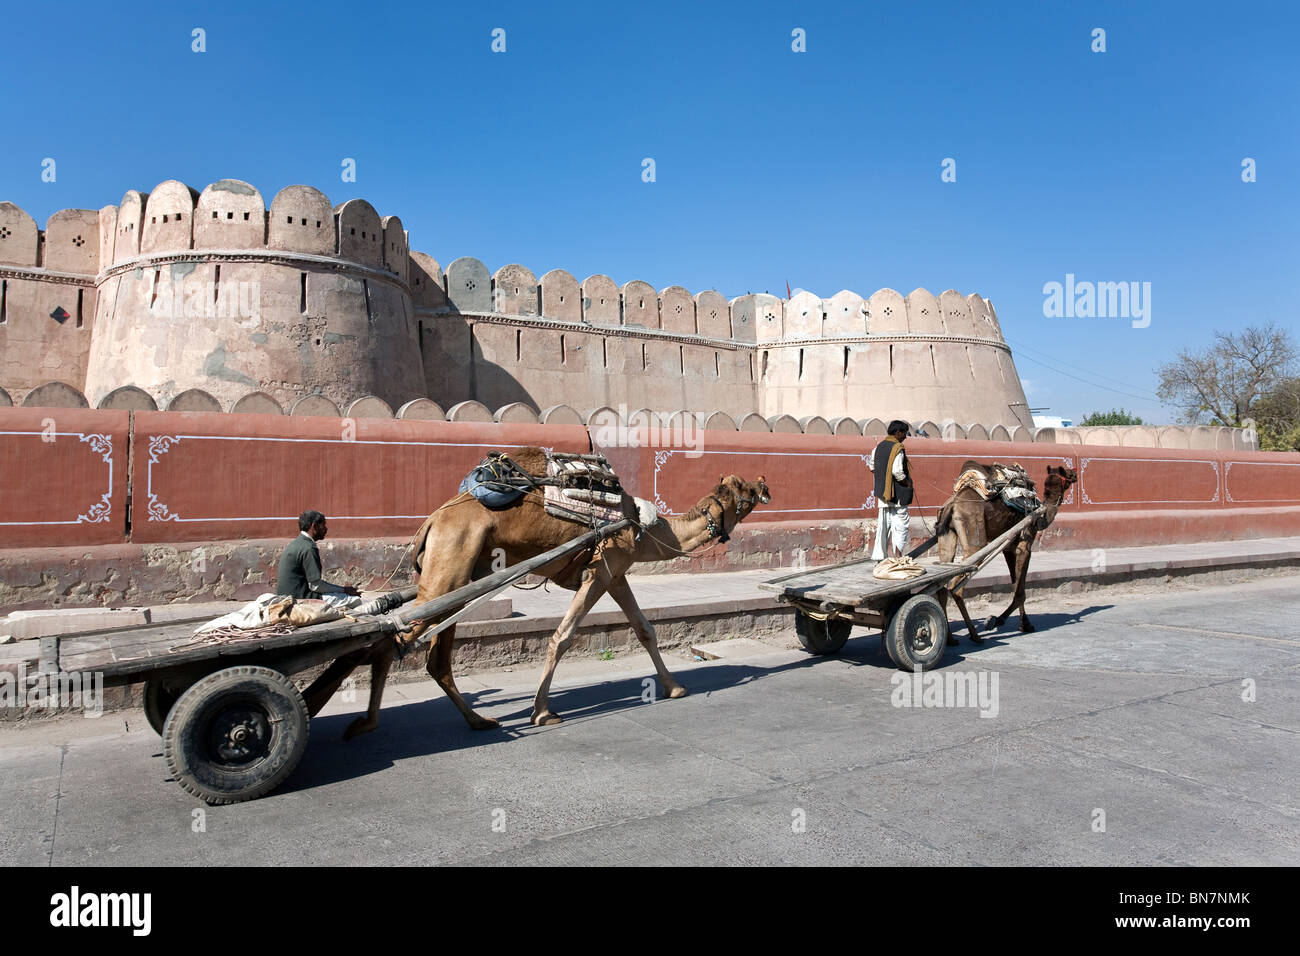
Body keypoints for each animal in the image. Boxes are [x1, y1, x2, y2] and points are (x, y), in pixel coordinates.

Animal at [301, 447, 771, 739]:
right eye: (745, 490)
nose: (766, 485)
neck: (641, 527)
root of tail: (432, 522)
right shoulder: (601, 569)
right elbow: (562, 636)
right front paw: (542, 712)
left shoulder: (616, 574)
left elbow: (644, 629)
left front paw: (673, 687)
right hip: (448, 569)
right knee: (394, 637)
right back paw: (368, 723)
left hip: (459, 575)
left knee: (429, 655)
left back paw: (476, 721)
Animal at [934, 462, 1078, 640]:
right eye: (1068, 473)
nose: (1076, 474)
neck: (1041, 514)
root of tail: (952, 505)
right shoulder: (1025, 544)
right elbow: (1021, 590)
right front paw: (997, 620)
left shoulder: (1009, 548)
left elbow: (1015, 582)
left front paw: (1025, 623)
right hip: (974, 537)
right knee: (955, 587)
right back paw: (975, 635)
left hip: (947, 536)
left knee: (941, 585)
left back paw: (950, 638)